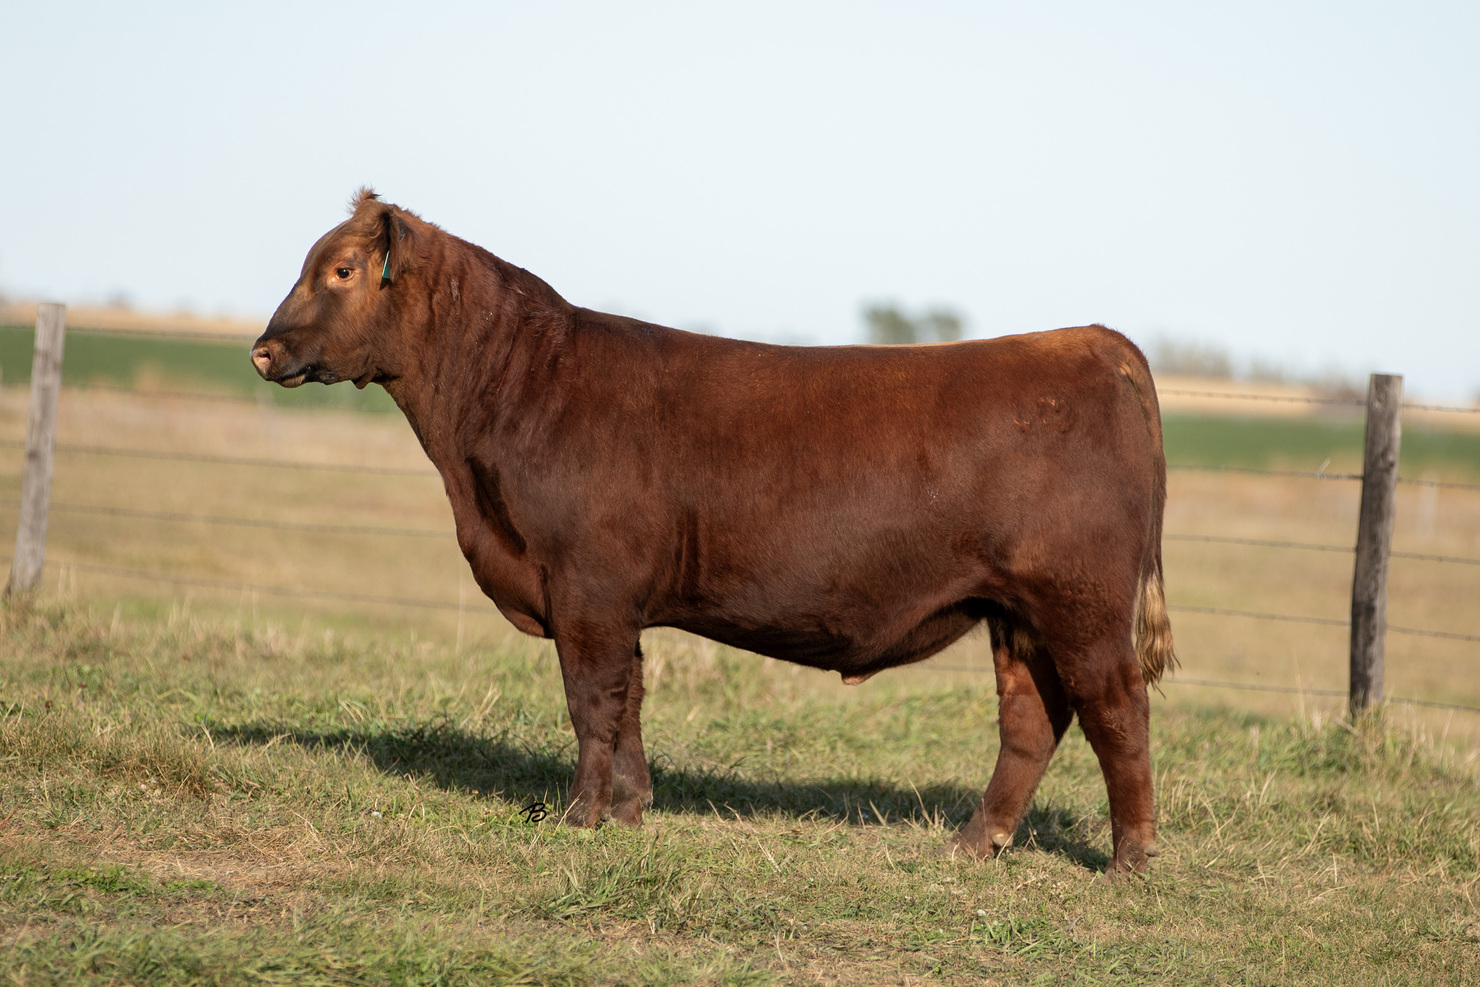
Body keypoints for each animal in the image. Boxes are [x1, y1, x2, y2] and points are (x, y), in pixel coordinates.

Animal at [252, 188, 1177, 875]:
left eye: (340, 269)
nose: (262, 350)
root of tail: (1090, 341)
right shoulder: (610, 600)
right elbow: (627, 698)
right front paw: (629, 810)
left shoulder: (586, 585)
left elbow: (592, 699)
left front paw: (578, 816)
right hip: (1018, 613)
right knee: (1032, 719)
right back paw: (973, 843)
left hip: (1080, 602)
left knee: (1117, 708)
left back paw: (1131, 860)